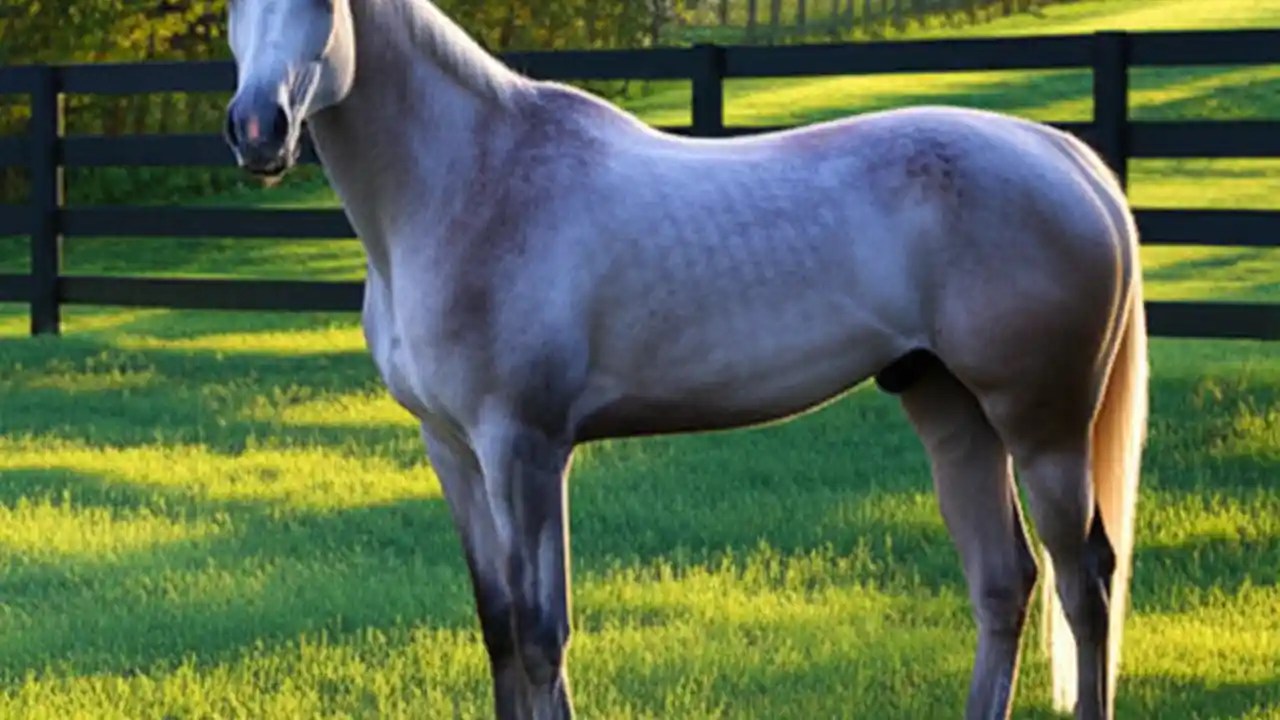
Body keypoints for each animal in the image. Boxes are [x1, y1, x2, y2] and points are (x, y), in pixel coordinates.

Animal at [221, 0, 1148, 718]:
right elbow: (498, 630)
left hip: (1043, 429)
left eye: (327, 2)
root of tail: (1070, 159)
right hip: (950, 410)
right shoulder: (451, 450)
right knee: (1004, 584)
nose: (258, 128)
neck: (474, 182)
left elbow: (541, 635)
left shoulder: (524, 449)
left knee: (1084, 582)